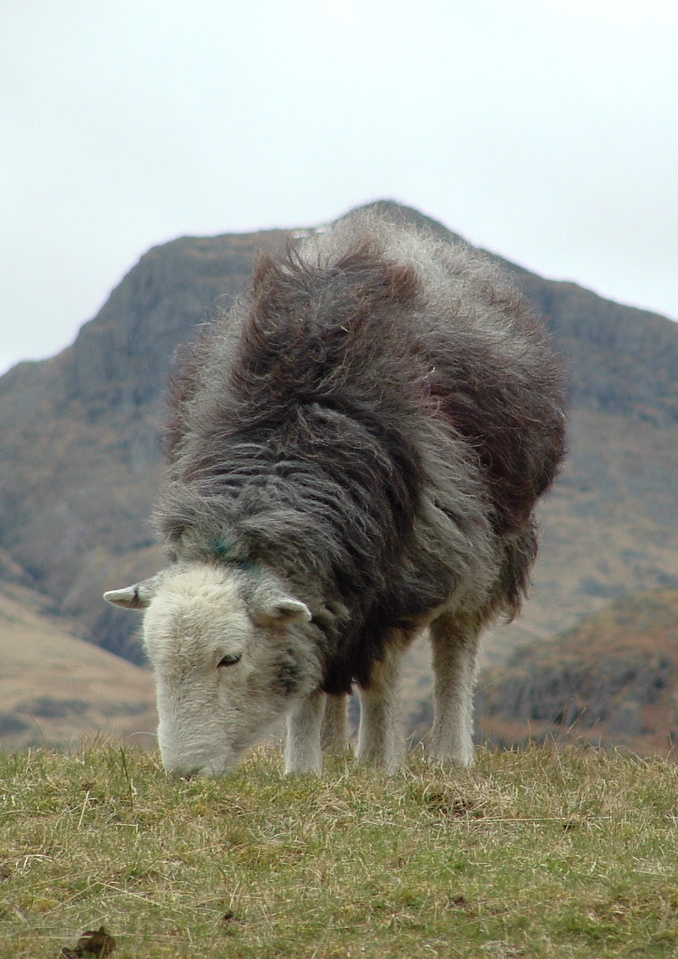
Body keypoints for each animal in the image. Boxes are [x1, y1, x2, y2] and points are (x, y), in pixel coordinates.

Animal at [105, 208, 566, 777]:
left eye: (231, 657)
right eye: (155, 659)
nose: (185, 775)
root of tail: (394, 230)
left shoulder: (409, 578)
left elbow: (383, 676)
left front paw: (380, 764)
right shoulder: (326, 581)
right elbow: (309, 669)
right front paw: (303, 769)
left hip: (489, 545)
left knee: (455, 643)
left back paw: (446, 756)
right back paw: (336, 748)